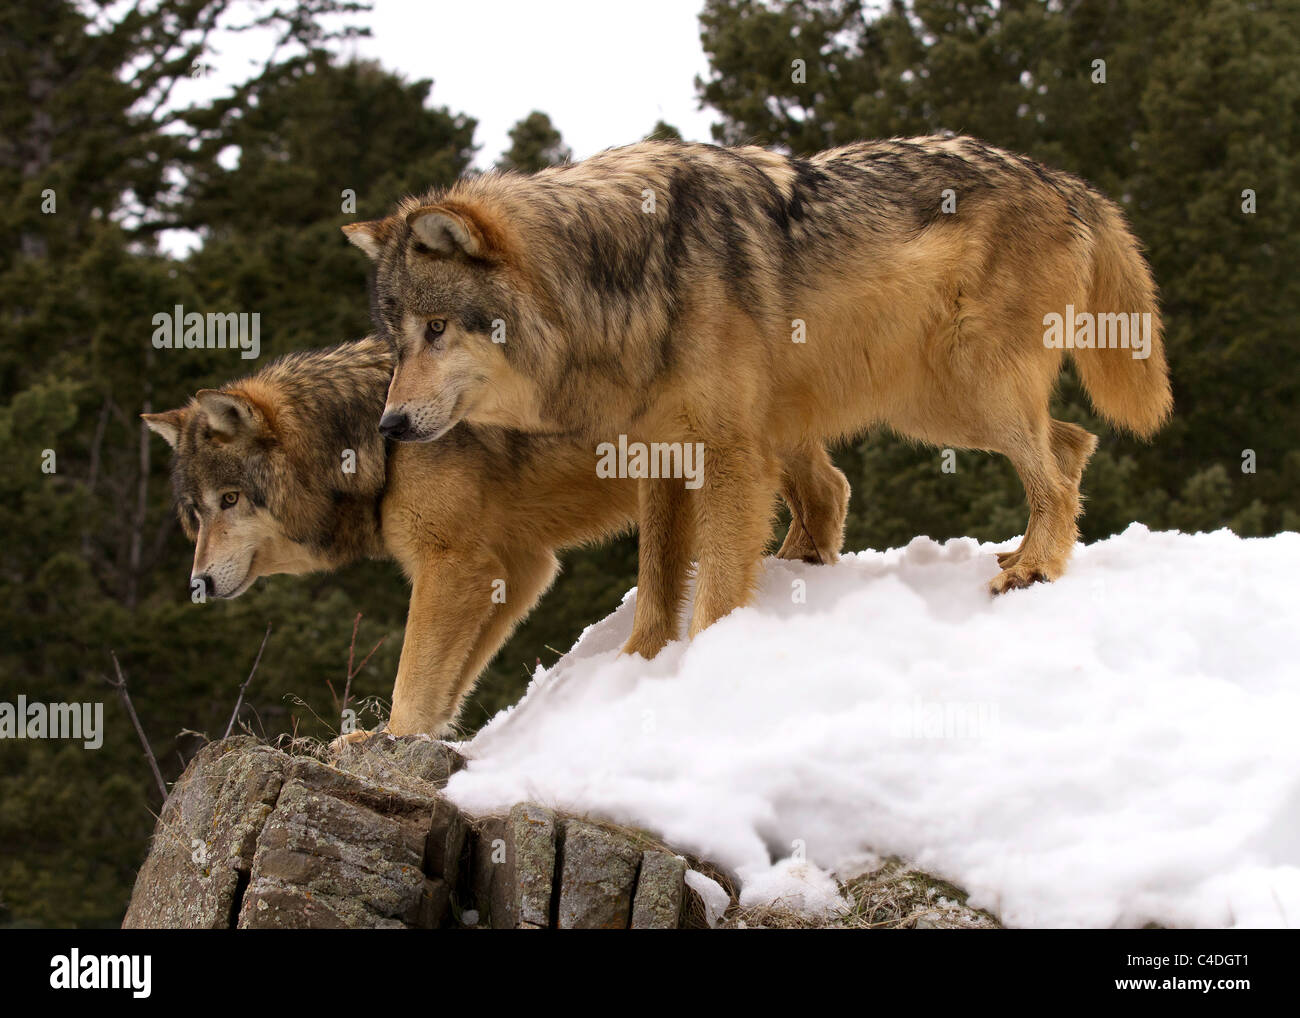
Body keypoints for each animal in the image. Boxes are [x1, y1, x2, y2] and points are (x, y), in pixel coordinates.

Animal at [143, 337, 850, 735]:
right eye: (195, 516)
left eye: (230, 501)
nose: (197, 583)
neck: (370, 439)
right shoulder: (516, 566)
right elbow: (452, 679)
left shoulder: (453, 565)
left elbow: (413, 674)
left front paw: (385, 740)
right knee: (833, 487)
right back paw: (802, 565)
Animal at [343, 135, 1172, 660]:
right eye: (397, 338)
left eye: (437, 328)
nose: (390, 424)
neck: (614, 278)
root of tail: (1066, 181)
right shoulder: (660, 456)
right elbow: (656, 587)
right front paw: (638, 671)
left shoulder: (728, 453)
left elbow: (710, 591)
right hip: (930, 407)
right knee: (1068, 443)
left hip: (962, 394)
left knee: (1055, 467)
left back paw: (1033, 568)